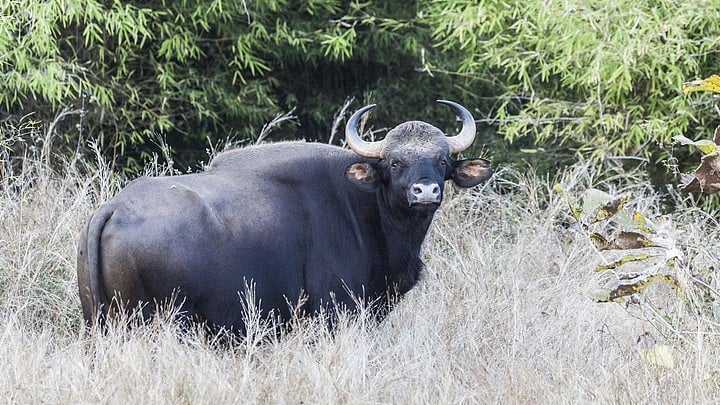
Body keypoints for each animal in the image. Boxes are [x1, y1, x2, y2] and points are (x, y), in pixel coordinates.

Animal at [77, 100, 493, 332]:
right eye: (395, 162)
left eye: (442, 161)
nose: (425, 192)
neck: (365, 209)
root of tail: (115, 207)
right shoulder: (335, 312)